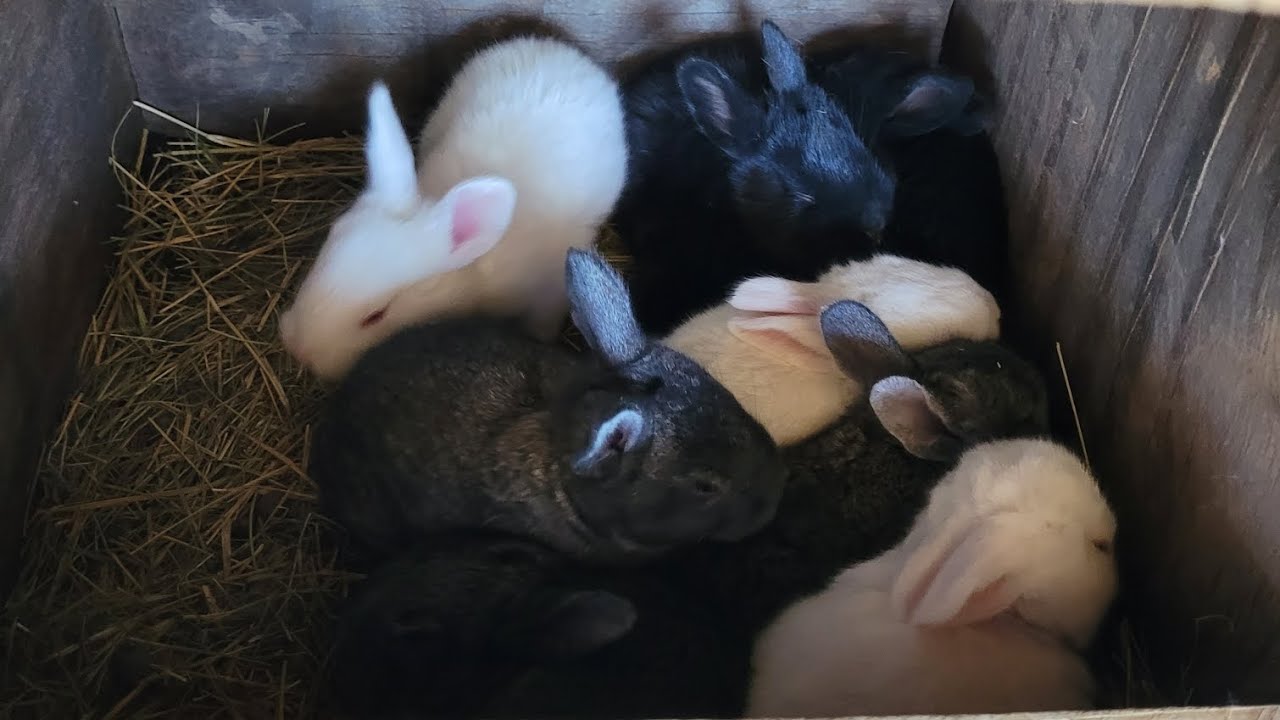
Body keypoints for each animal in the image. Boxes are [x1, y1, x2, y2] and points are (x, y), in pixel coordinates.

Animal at [280, 36, 628, 380]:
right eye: (326, 246)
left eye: (376, 315)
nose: (298, 349)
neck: (473, 276)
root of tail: (556, 47)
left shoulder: (550, 290)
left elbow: (543, 323)